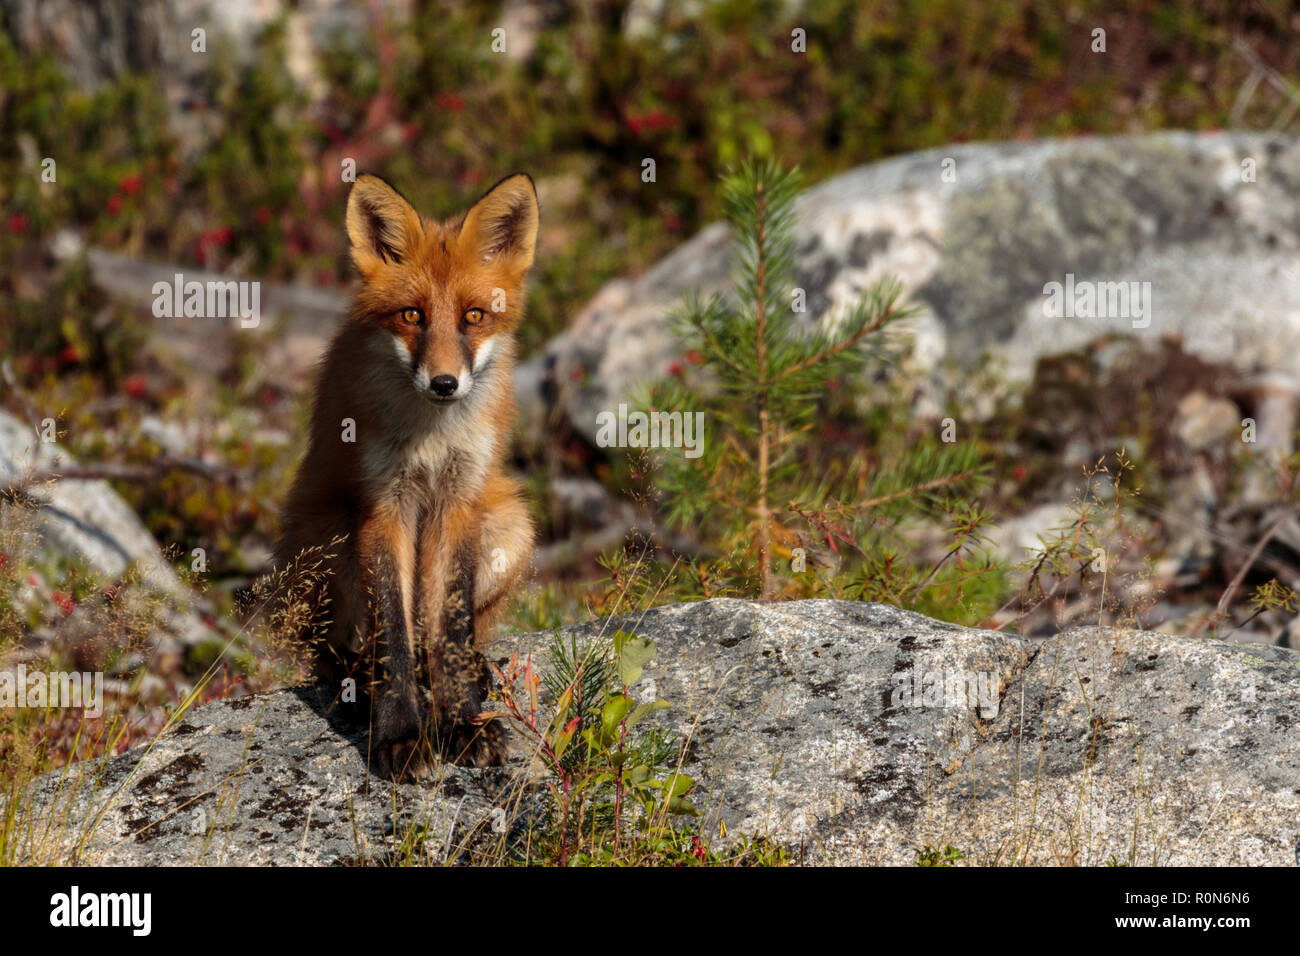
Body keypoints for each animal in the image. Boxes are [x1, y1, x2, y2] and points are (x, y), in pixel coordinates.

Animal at [274, 172, 538, 780]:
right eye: (412, 315)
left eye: (473, 316)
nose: (444, 383)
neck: (431, 437)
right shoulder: (382, 507)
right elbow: (391, 632)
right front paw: (400, 736)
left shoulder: (459, 502)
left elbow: (453, 628)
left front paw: (462, 722)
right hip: (327, 536)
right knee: (333, 652)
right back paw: (354, 680)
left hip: (511, 524)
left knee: (436, 638)